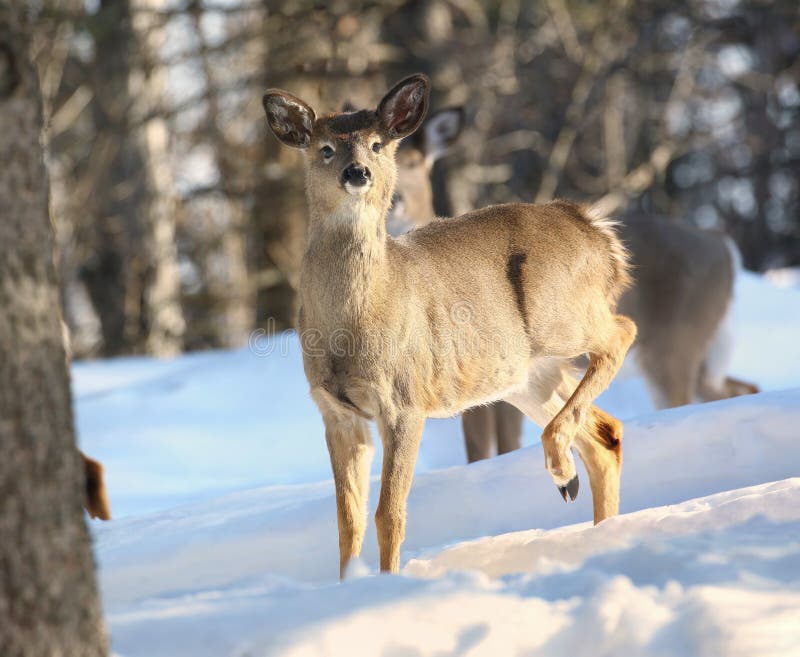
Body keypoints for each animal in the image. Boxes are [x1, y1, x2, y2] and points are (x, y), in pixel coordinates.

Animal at [262, 74, 636, 577]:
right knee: (605, 435)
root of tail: (596, 230)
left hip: (561, 315)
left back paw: (563, 472)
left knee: (623, 331)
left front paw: (385, 583)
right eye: (325, 148)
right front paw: (349, 584)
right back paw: (588, 513)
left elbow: (389, 513)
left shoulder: (405, 401)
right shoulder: (336, 412)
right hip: (524, 374)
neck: (356, 320)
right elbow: (347, 521)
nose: (357, 172)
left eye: (377, 144)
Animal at [387, 107, 759, 463]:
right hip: (696, 351)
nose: (396, 201)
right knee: (737, 388)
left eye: (414, 161)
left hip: (674, 345)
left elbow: (492, 448)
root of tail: (723, 244)